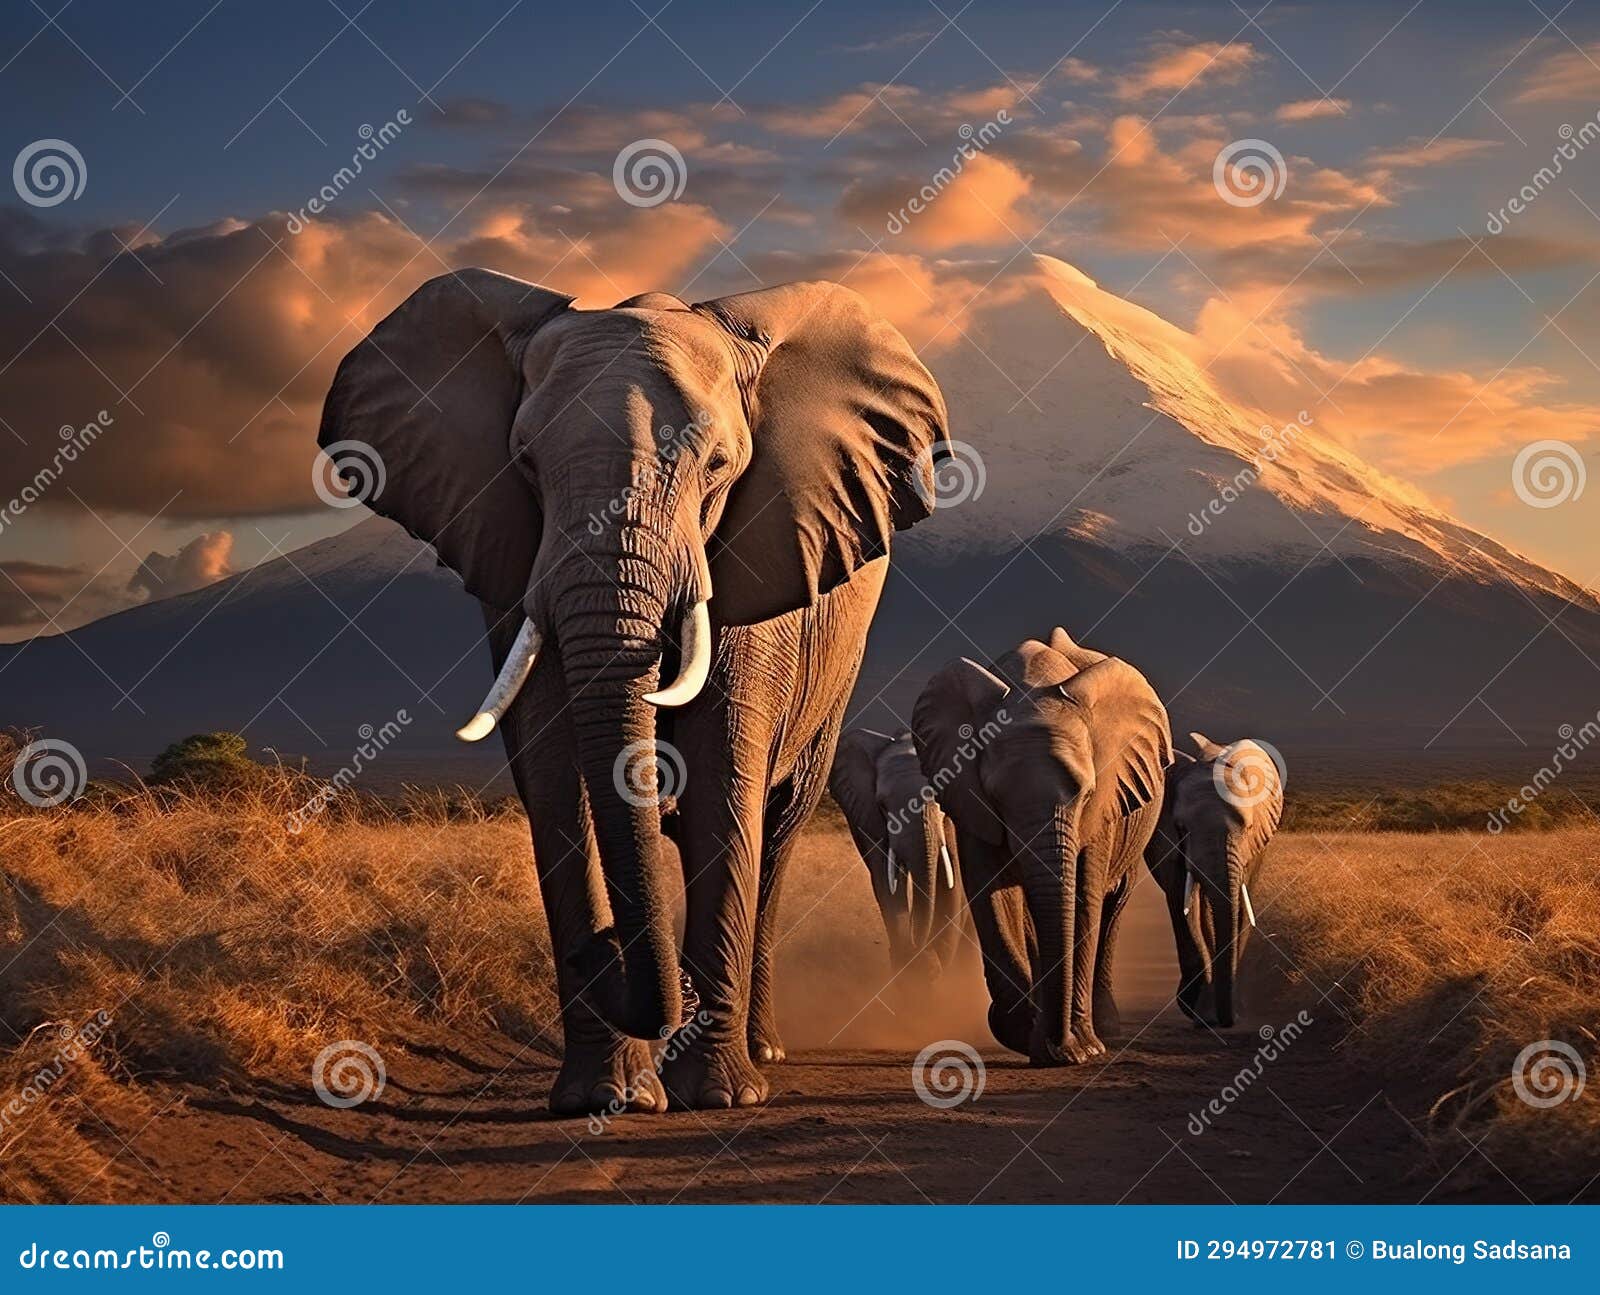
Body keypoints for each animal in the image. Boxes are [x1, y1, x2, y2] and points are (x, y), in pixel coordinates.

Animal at [319, 269, 948, 1111]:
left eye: (718, 466)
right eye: (525, 464)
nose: (606, 948)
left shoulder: (760, 559)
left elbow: (722, 773)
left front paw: (716, 1095)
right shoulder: (514, 561)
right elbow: (555, 772)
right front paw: (601, 1096)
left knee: (779, 830)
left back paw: (762, 1051)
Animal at [828, 728, 966, 980]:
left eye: (940, 799)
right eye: (882, 805)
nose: (920, 946)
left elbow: (952, 881)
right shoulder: (868, 816)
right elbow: (884, 877)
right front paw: (912, 969)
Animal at [912, 627, 1171, 1065]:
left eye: (1085, 794)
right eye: (995, 797)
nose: (1060, 1049)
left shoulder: (1104, 802)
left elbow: (1084, 896)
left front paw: (1083, 1048)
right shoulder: (968, 798)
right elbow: (991, 893)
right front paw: (1027, 1035)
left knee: (1112, 903)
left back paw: (1104, 1028)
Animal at [1145, 733, 1284, 1028]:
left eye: (1247, 827)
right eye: (1182, 828)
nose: (1227, 1020)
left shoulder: (1254, 846)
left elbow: (1240, 905)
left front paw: (1228, 1012)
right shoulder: (1167, 839)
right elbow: (1183, 901)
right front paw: (1201, 1013)